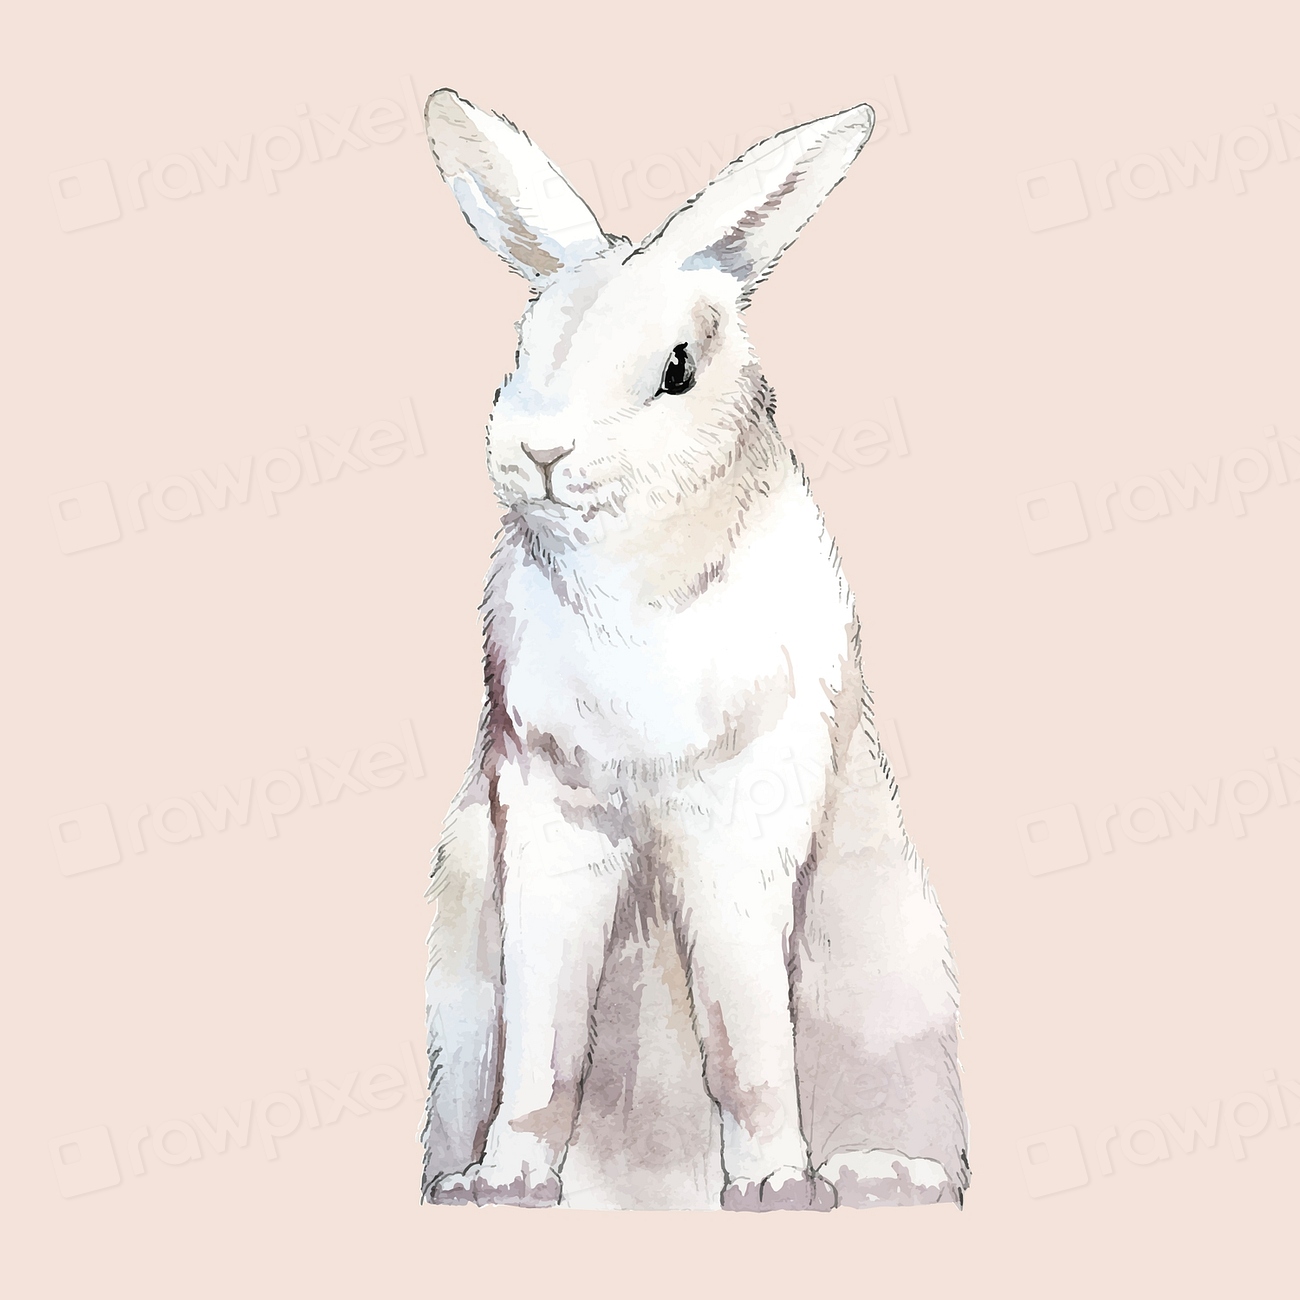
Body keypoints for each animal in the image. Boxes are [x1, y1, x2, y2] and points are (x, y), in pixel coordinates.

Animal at [419, 88, 968, 1211]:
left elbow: (744, 1029)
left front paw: (773, 1187)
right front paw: (505, 1180)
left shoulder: (739, 815)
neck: (629, 577)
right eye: (523, 346)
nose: (541, 451)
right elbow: (544, 1033)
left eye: (678, 368)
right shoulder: (547, 810)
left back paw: (884, 1171)